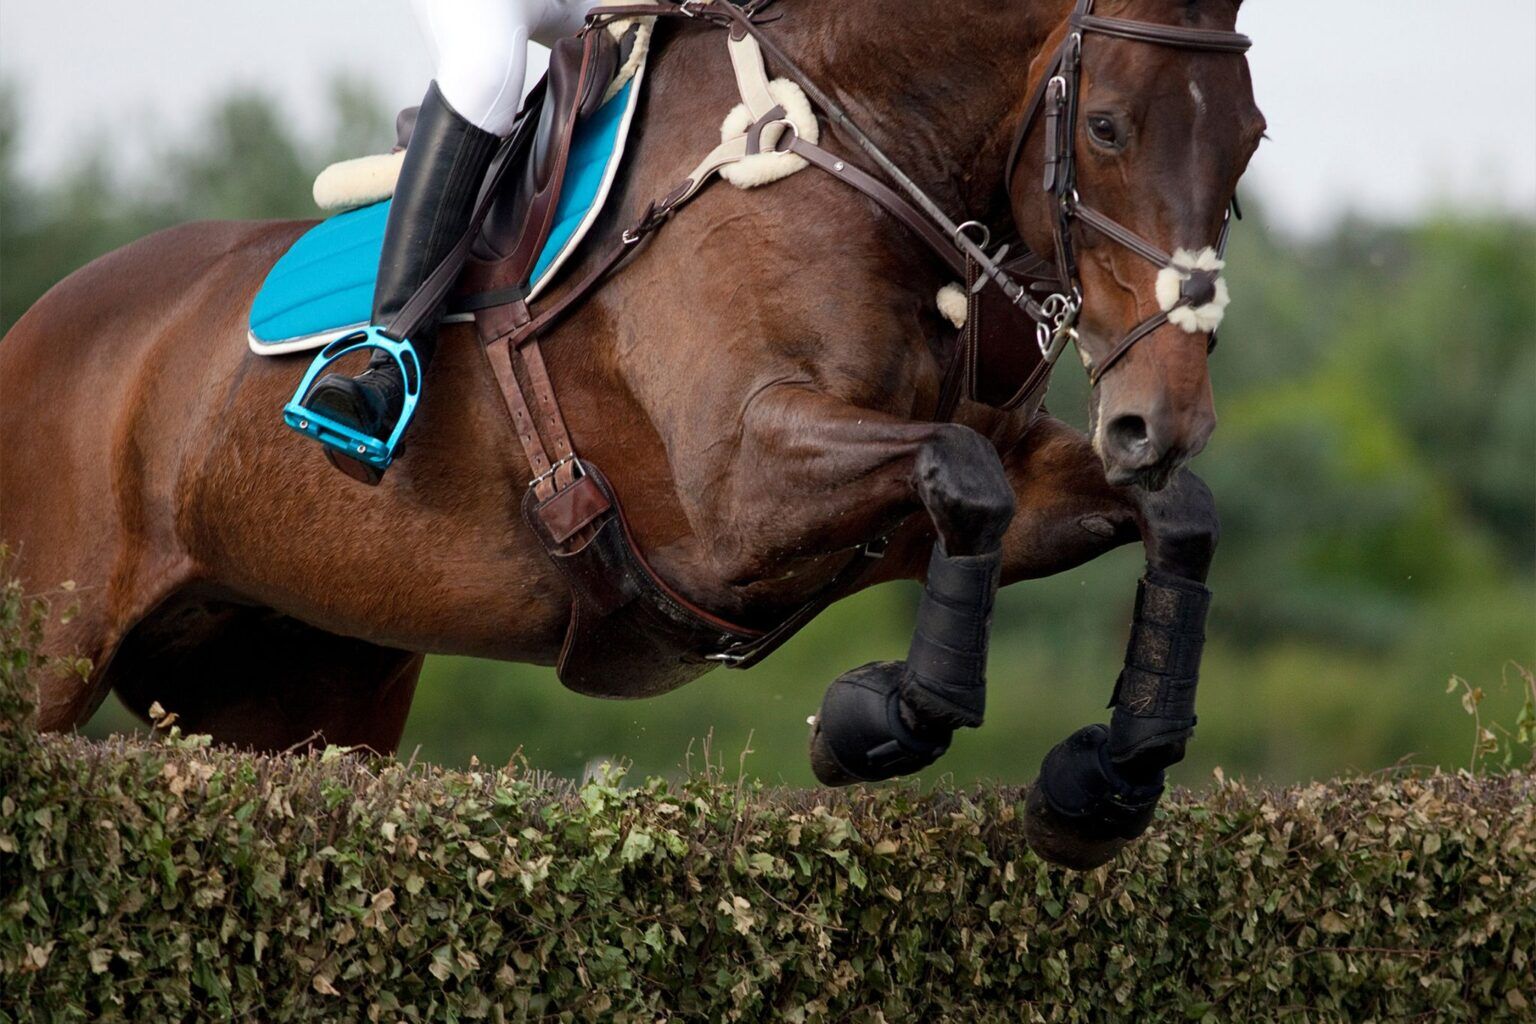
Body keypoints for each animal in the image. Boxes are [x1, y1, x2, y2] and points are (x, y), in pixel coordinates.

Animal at [0, 0, 1264, 869]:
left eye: (1250, 139)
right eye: (1106, 126)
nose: (1162, 417)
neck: (851, 147)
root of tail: (35, 326)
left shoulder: (915, 500)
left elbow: (1165, 514)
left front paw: (1104, 780)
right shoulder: (739, 500)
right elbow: (963, 478)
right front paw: (877, 721)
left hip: (294, 693)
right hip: (55, 645)